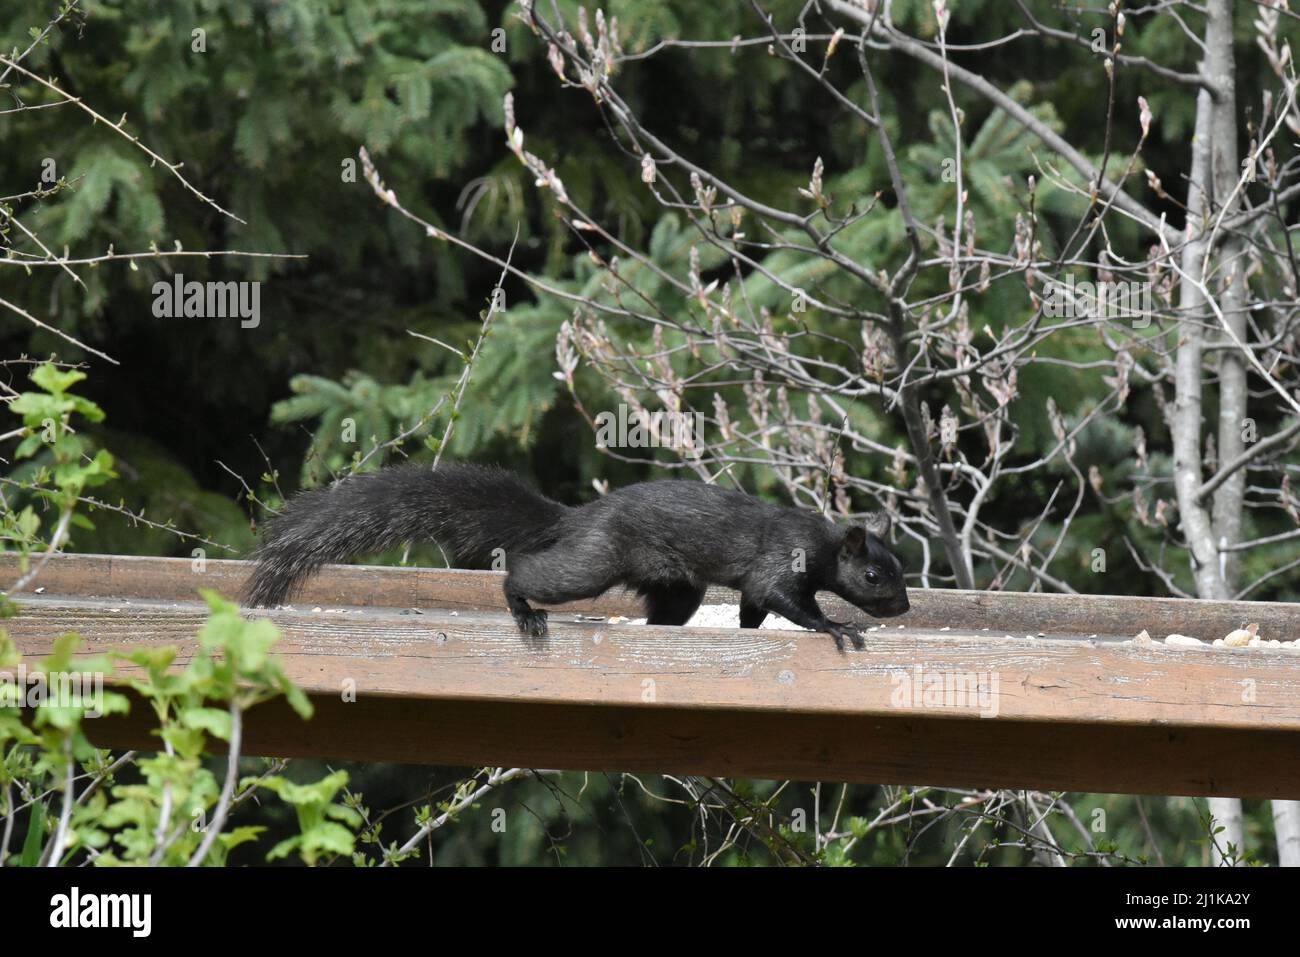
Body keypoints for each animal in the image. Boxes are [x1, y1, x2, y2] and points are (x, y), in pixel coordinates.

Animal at [244, 463, 909, 649]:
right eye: (875, 574)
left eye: (901, 570)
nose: (903, 609)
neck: (825, 543)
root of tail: (580, 517)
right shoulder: (781, 562)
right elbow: (784, 599)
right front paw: (835, 626)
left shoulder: (754, 584)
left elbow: (753, 608)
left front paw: (751, 632)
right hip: (592, 564)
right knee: (526, 573)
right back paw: (523, 611)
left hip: (677, 586)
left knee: (664, 612)